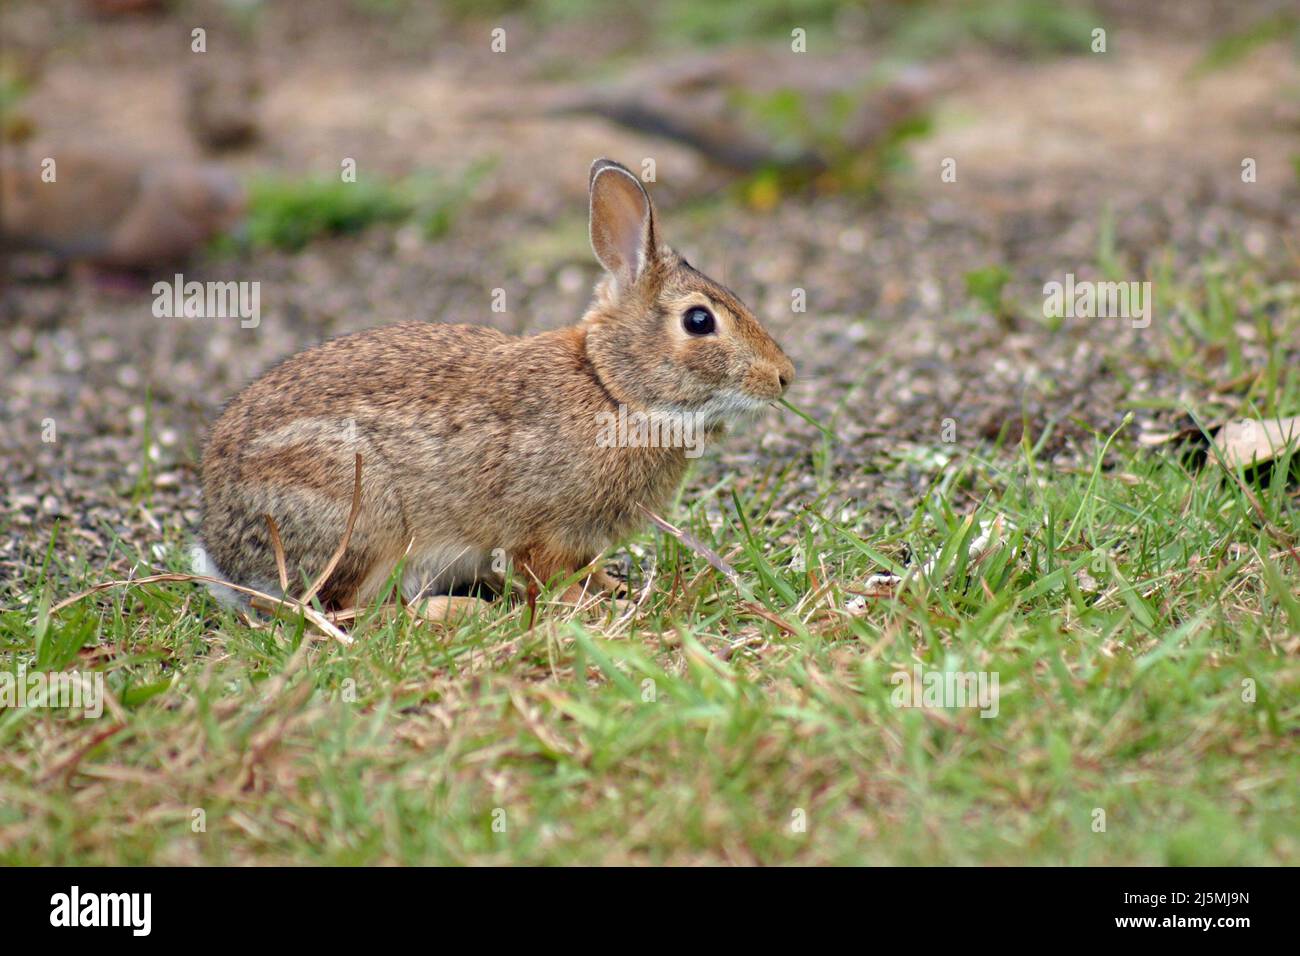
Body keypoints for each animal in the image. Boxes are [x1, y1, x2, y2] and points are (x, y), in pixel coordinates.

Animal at [195, 158, 794, 614]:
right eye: (699, 321)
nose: (783, 375)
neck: (612, 388)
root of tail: (225, 553)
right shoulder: (539, 529)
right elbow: (545, 573)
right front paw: (586, 606)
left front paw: (613, 588)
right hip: (364, 517)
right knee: (349, 611)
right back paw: (456, 612)